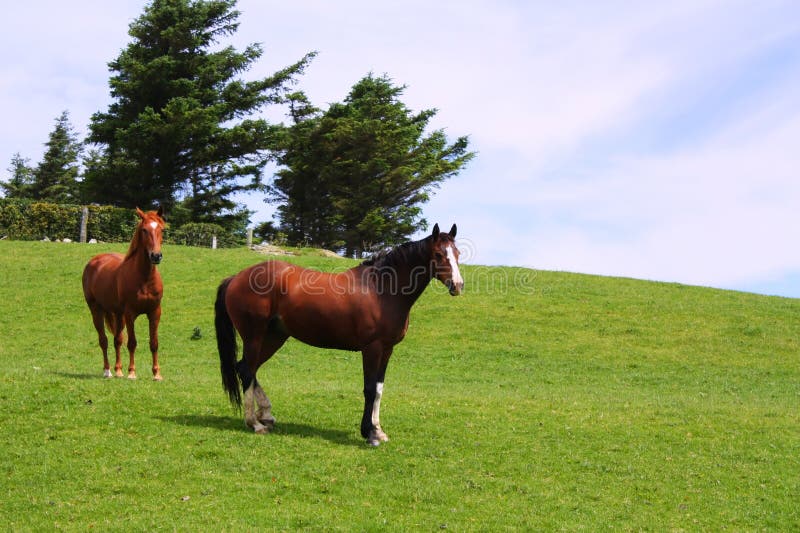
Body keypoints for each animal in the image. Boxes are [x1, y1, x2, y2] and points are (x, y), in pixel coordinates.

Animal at [82, 207, 165, 380]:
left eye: (162, 229)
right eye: (144, 230)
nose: (156, 256)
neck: (144, 278)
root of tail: (95, 261)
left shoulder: (155, 312)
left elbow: (154, 343)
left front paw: (156, 374)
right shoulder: (130, 313)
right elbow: (132, 343)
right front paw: (132, 372)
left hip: (118, 314)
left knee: (117, 339)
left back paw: (118, 370)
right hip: (97, 310)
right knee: (104, 340)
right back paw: (107, 371)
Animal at [215, 223, 464, 446]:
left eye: (457, 253)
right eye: (439, 254)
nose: (458, 285)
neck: (381, 288)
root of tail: (235, 278)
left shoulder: (387, 349)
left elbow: (379, 389)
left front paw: (378, 430)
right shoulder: (372, 348)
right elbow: (369, 388)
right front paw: (369, 434)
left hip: (274, 338)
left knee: (246, 368)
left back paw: (265, 414)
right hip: (254, 336)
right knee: (247, 370)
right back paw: (254, 423)